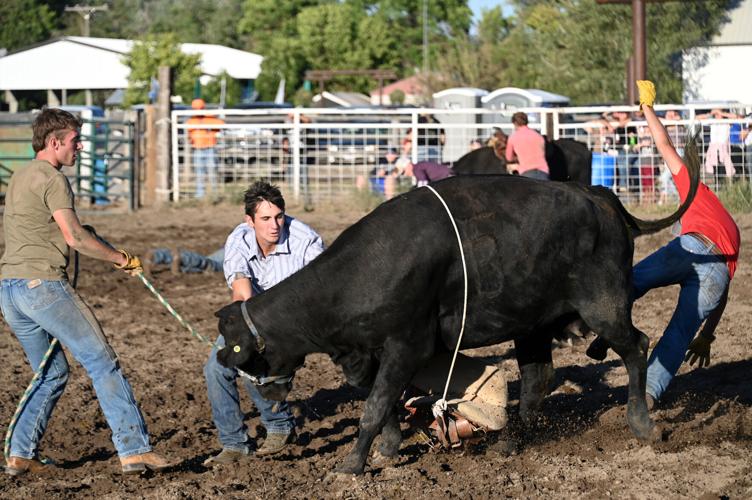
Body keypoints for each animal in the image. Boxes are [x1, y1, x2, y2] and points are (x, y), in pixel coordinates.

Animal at [214, 152, 699, 475]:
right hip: (533, 323)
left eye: (239, 347)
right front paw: (389, 447)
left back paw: (642, 424)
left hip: (605, 307)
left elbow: (375, 406)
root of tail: (597, 196)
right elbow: (383, 403)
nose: (220, 357)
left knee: (636, 346)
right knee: (538, 377)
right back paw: (512, 442)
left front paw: (351, 466)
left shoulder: (406, 345)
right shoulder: (368, 354)